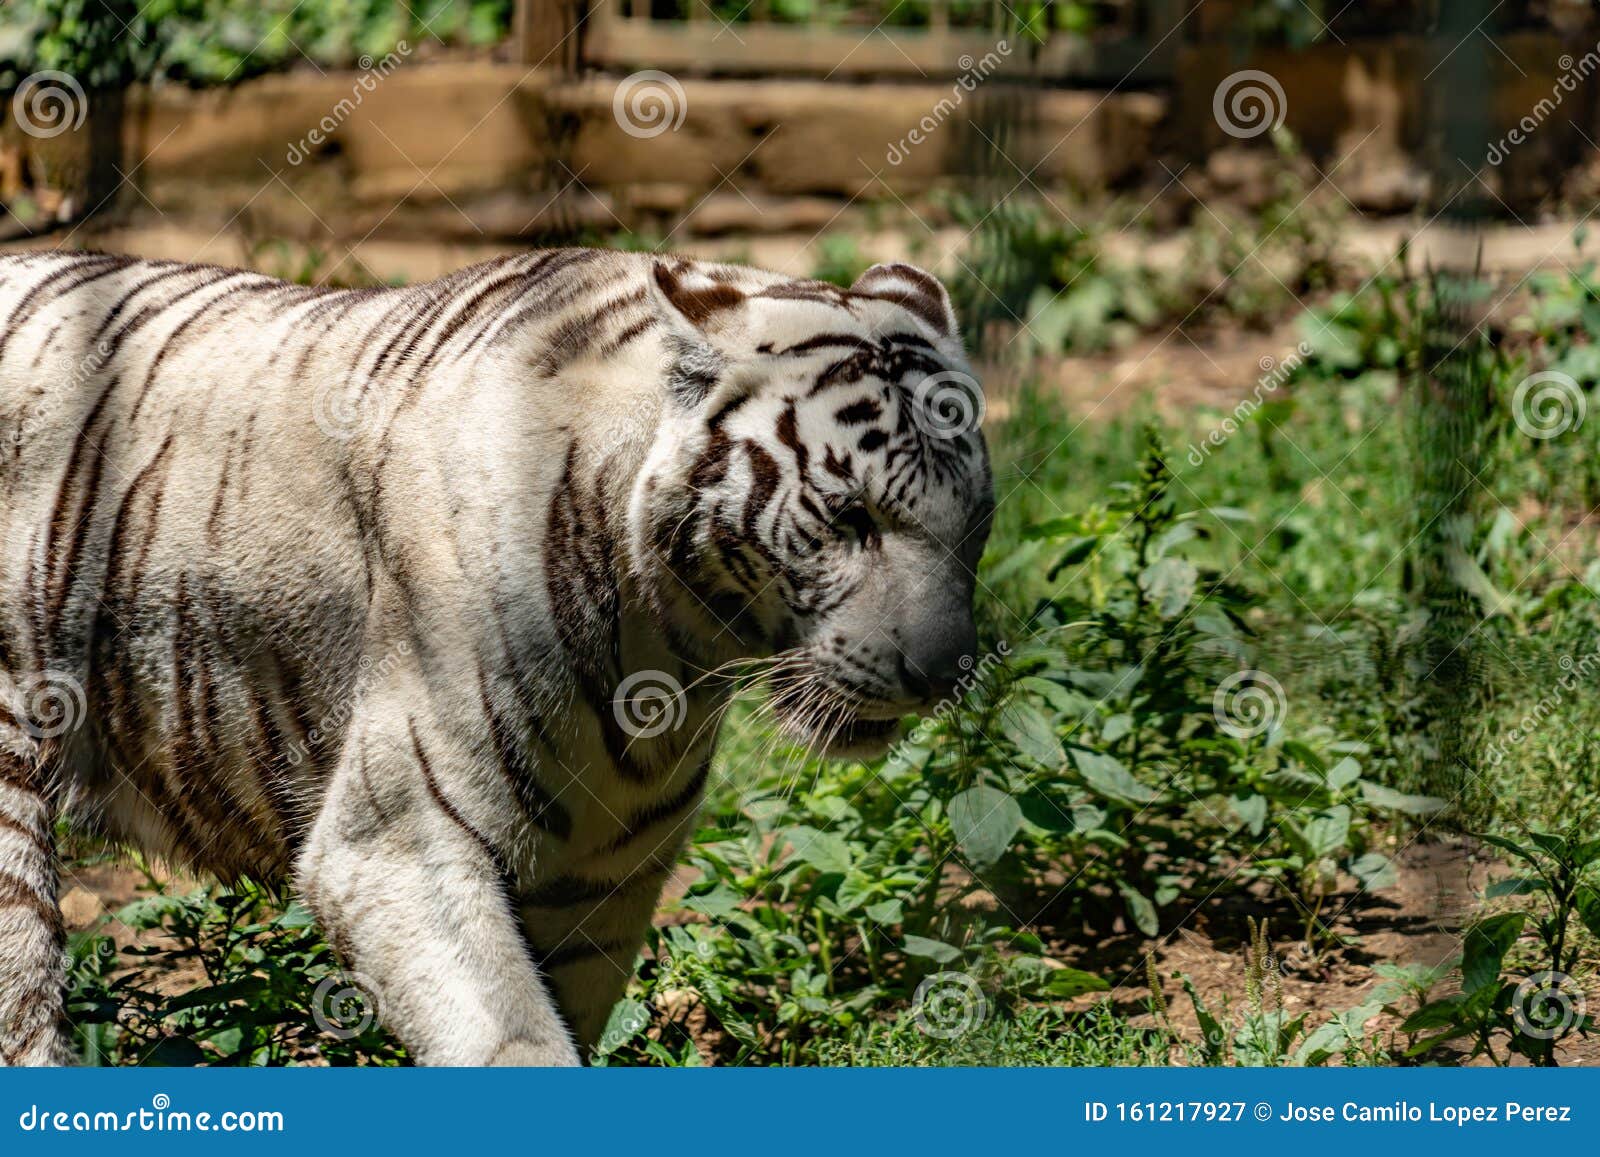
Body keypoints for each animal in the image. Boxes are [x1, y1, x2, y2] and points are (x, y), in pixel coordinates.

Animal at [0, 247, 993, 1066]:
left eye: (975, 523)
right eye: (850, 517)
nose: (940, 672)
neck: (671, 655)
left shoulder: (599, 885)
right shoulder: (397, 838)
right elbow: (512, 1039)